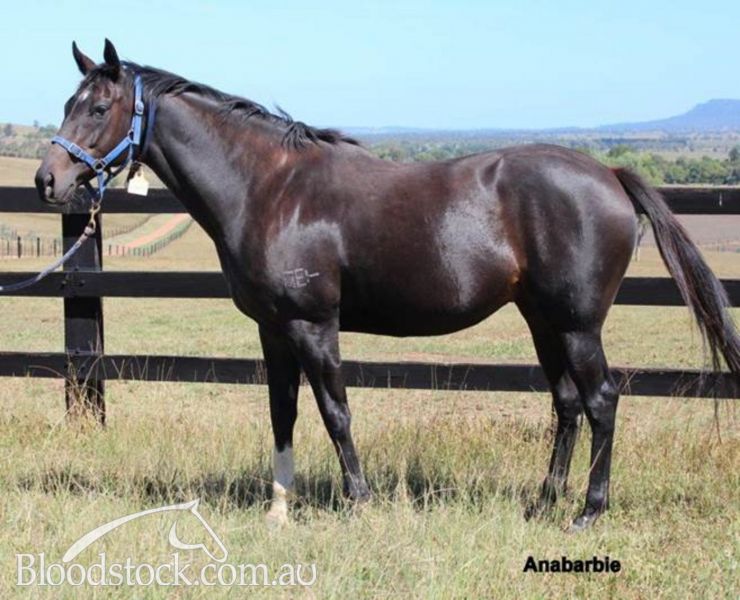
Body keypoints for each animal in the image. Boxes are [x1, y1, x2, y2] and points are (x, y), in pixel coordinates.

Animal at [36, 40, 740, 531]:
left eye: (98, 107)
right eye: (66, 105)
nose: (49, 180)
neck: (270, 188)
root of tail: (611, 174)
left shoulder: (313, 325)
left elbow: (336, 412)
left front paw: (360, 502)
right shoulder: (273, 330)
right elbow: (283, 413)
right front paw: (278, 508)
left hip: (576, 324)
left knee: (600, 401)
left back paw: (587, 512)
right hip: (542, 320)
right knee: (566, 404)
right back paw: (542, 504)